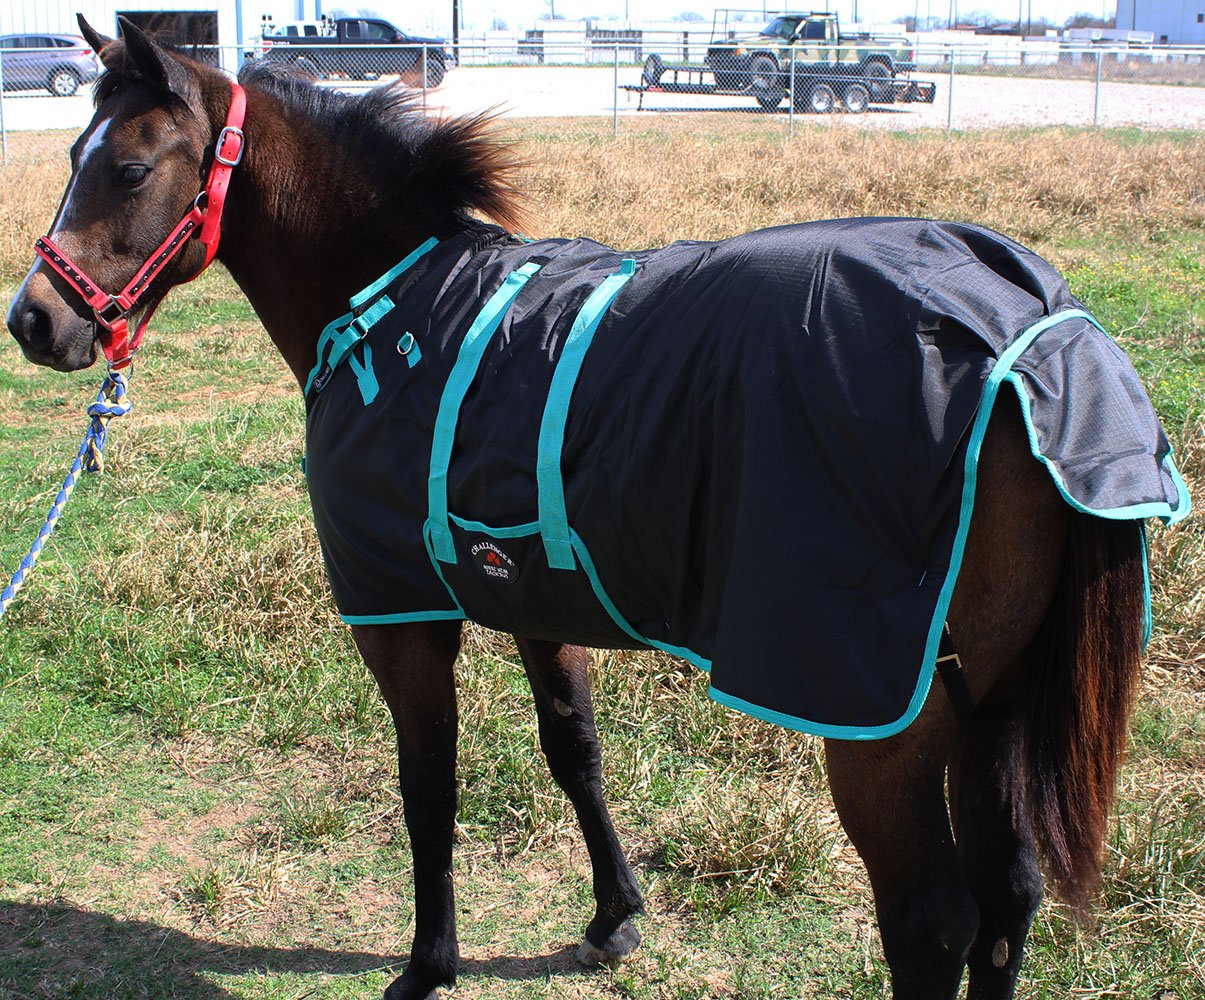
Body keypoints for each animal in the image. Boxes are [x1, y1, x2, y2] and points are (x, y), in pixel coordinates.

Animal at [2, 17, 1185, 1000]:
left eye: (129, 166)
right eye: (69, 157)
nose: (34, 320)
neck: (393, 303)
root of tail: (1038, 334)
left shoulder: (402, 621)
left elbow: (428, 786)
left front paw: (427, 965)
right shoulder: (535, 597)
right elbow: (573, 751)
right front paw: (614, 917)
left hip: (883, 730)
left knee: (932, 921)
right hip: (995, 702)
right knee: (1008, 894)